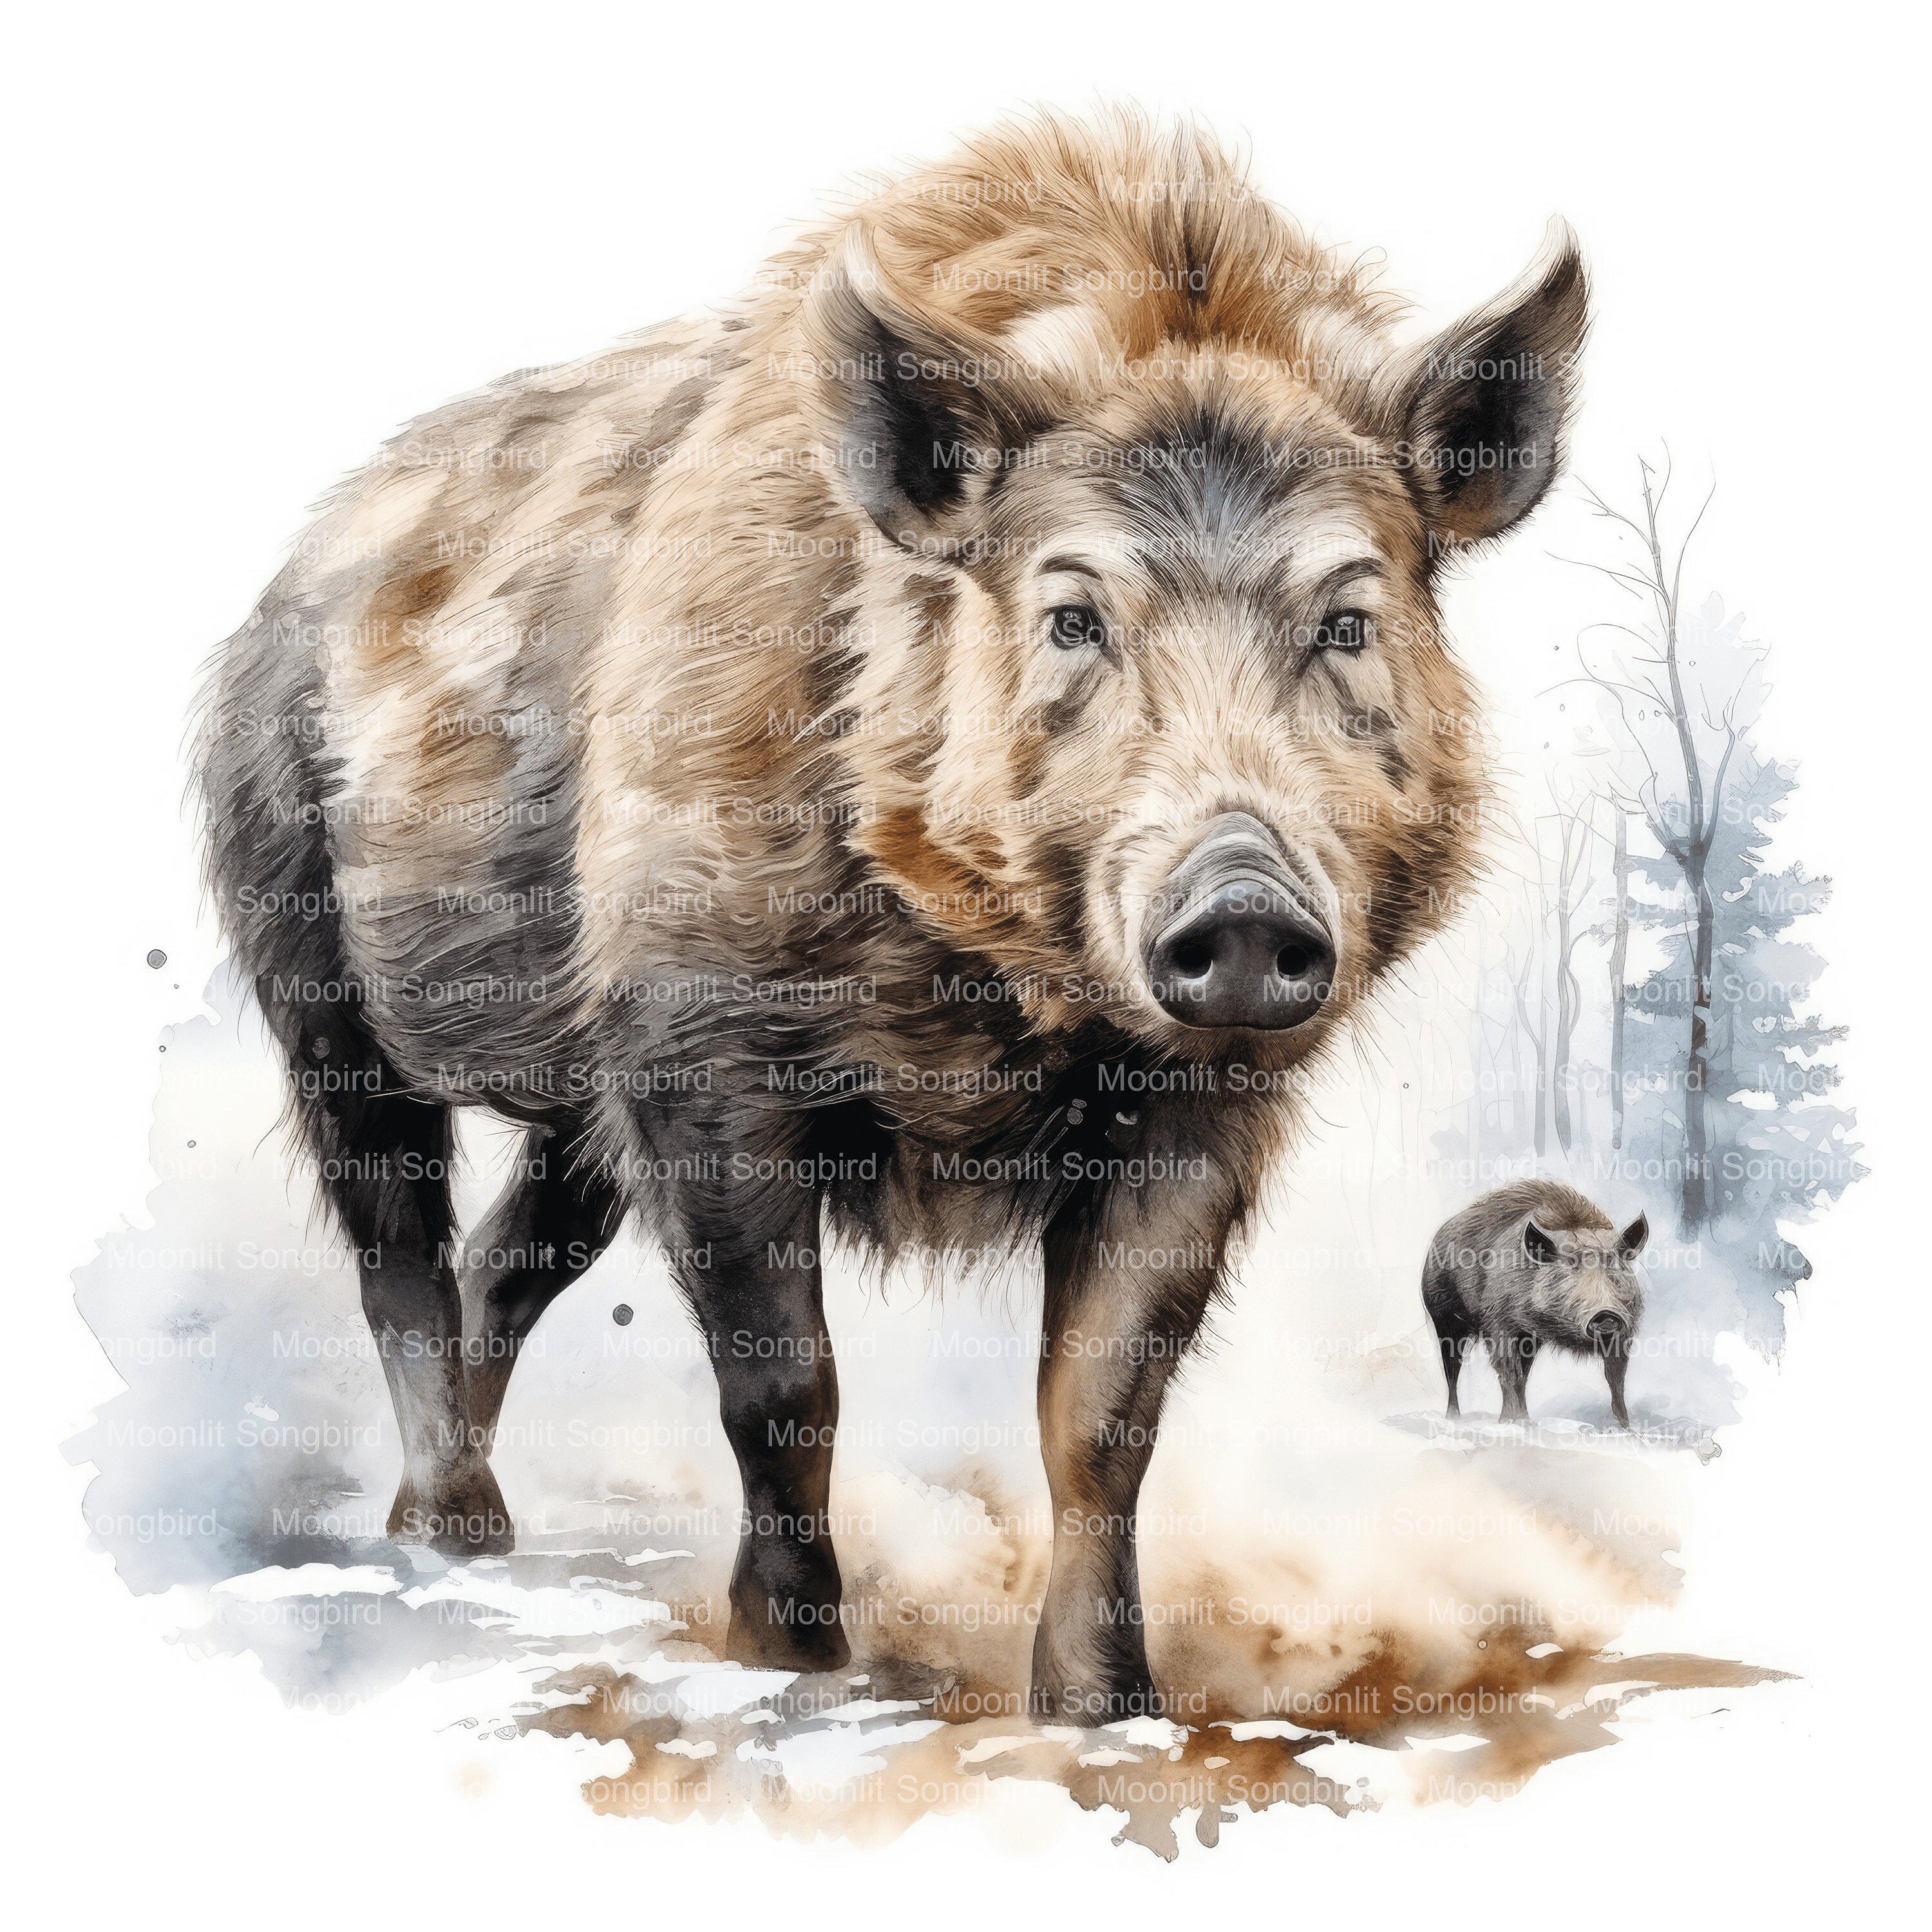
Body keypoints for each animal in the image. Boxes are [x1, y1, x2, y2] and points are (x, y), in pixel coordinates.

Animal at [195, 109, 1587, 1721]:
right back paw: (454, 1539)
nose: (1242, 902)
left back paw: (463, 1532)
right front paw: (798, 1665)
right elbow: (782, 1382)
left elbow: (1103, 1410)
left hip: (574, 1095)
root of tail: (293, 573)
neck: (974, 1009)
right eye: (1070, 616)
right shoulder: (699, 1043)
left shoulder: (1208, 1105)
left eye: (1349, 621)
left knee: (508, 1256)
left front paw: (1105, 1710)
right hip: (302, 950)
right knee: (397, 1250)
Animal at [1423, 1180, 1647, 1429]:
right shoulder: (1500, 1323)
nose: (1606, 1314)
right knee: (1453, 1369)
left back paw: (1521, 1420)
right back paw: (1456, 1418)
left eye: (1613, 1264)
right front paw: (1511, 1423)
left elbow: (1616, 1378)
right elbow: (1508, 1371)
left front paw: (1627, 1428)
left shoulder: (1624, 1331)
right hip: (1443, 1319)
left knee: (1523, 1373)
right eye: (1571, 1265)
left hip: (1529, 1340)